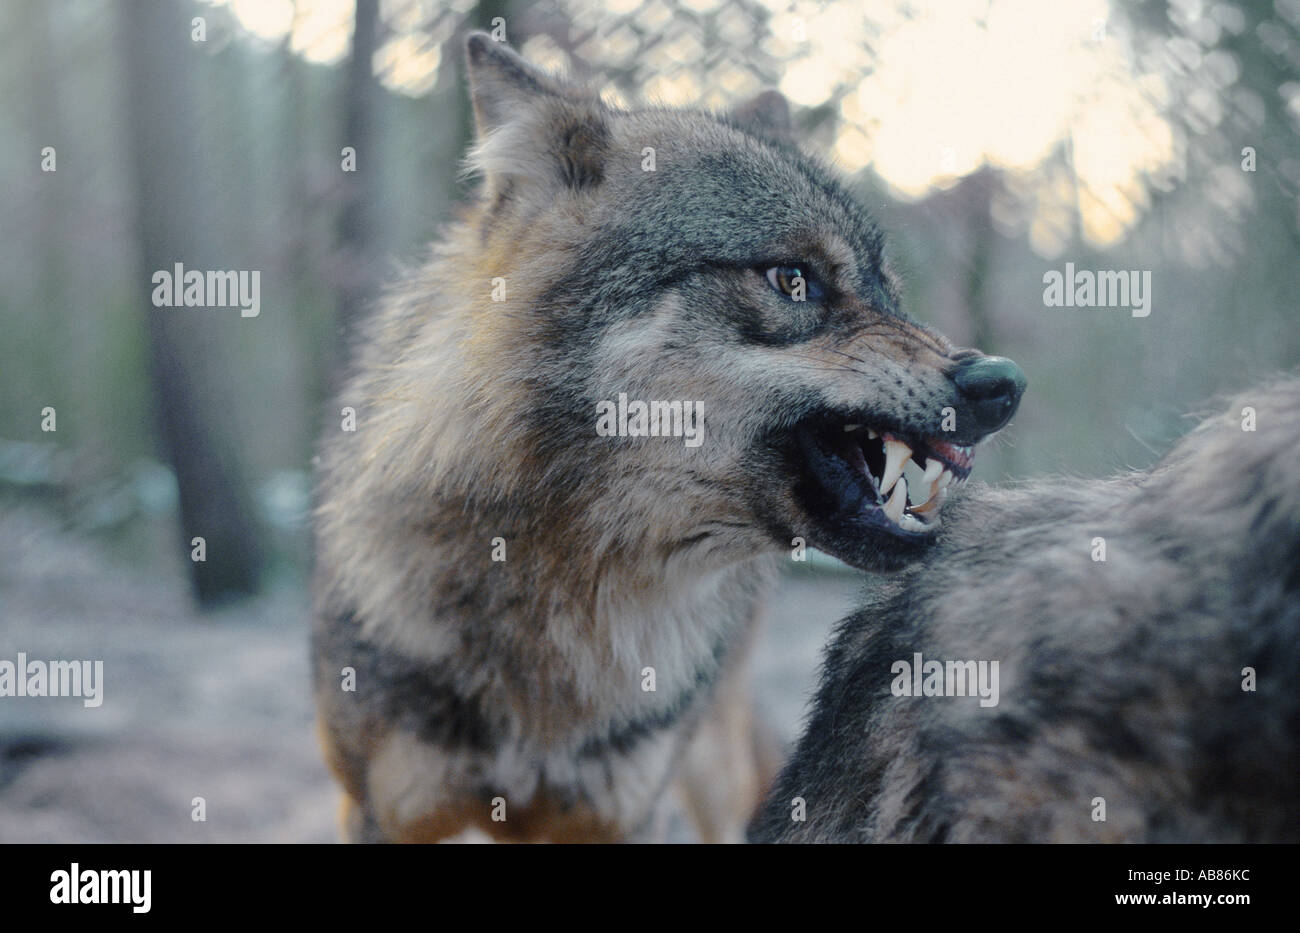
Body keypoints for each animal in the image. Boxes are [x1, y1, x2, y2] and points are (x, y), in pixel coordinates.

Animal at [311, 32, 1026, 843]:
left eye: (888, 293)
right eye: (792, 279)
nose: (1002, 383)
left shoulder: (628, 811)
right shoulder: (380, 811)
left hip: (714, 765)